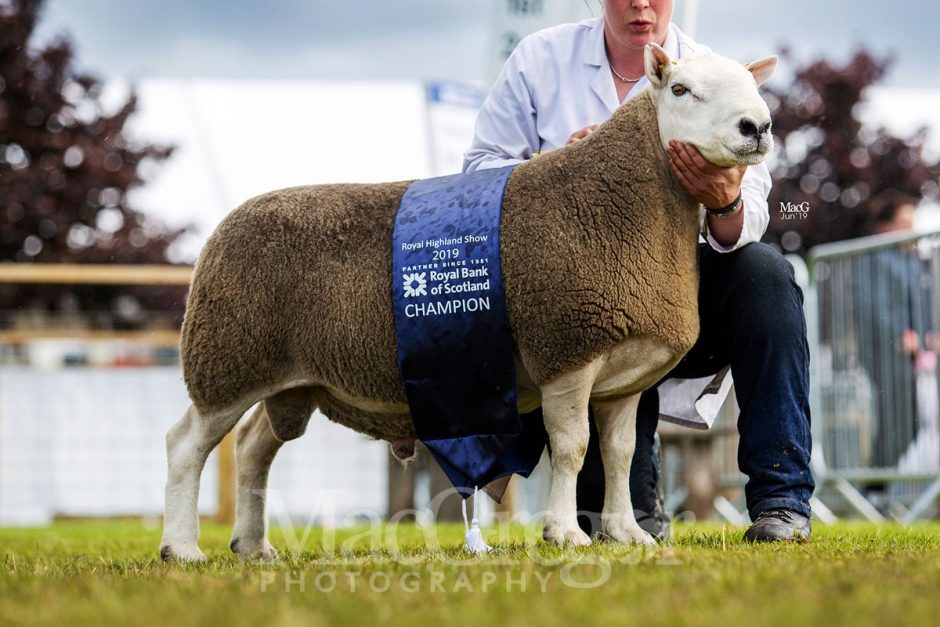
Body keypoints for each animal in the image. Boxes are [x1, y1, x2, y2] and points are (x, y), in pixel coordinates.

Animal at [160, 43, 777, 562]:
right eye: (682, 89)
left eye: (751, 86)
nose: (758, 127)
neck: (626, 205)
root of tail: (224, 230)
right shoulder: (566, 350)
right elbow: (573, 448)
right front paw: (566, 533)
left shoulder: (623, 377)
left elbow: (620, 454)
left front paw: (626, 534)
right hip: (228, 359)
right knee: (187, 445)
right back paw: (182, 549)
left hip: (292, 381)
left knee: (253, 447)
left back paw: (252, 546)